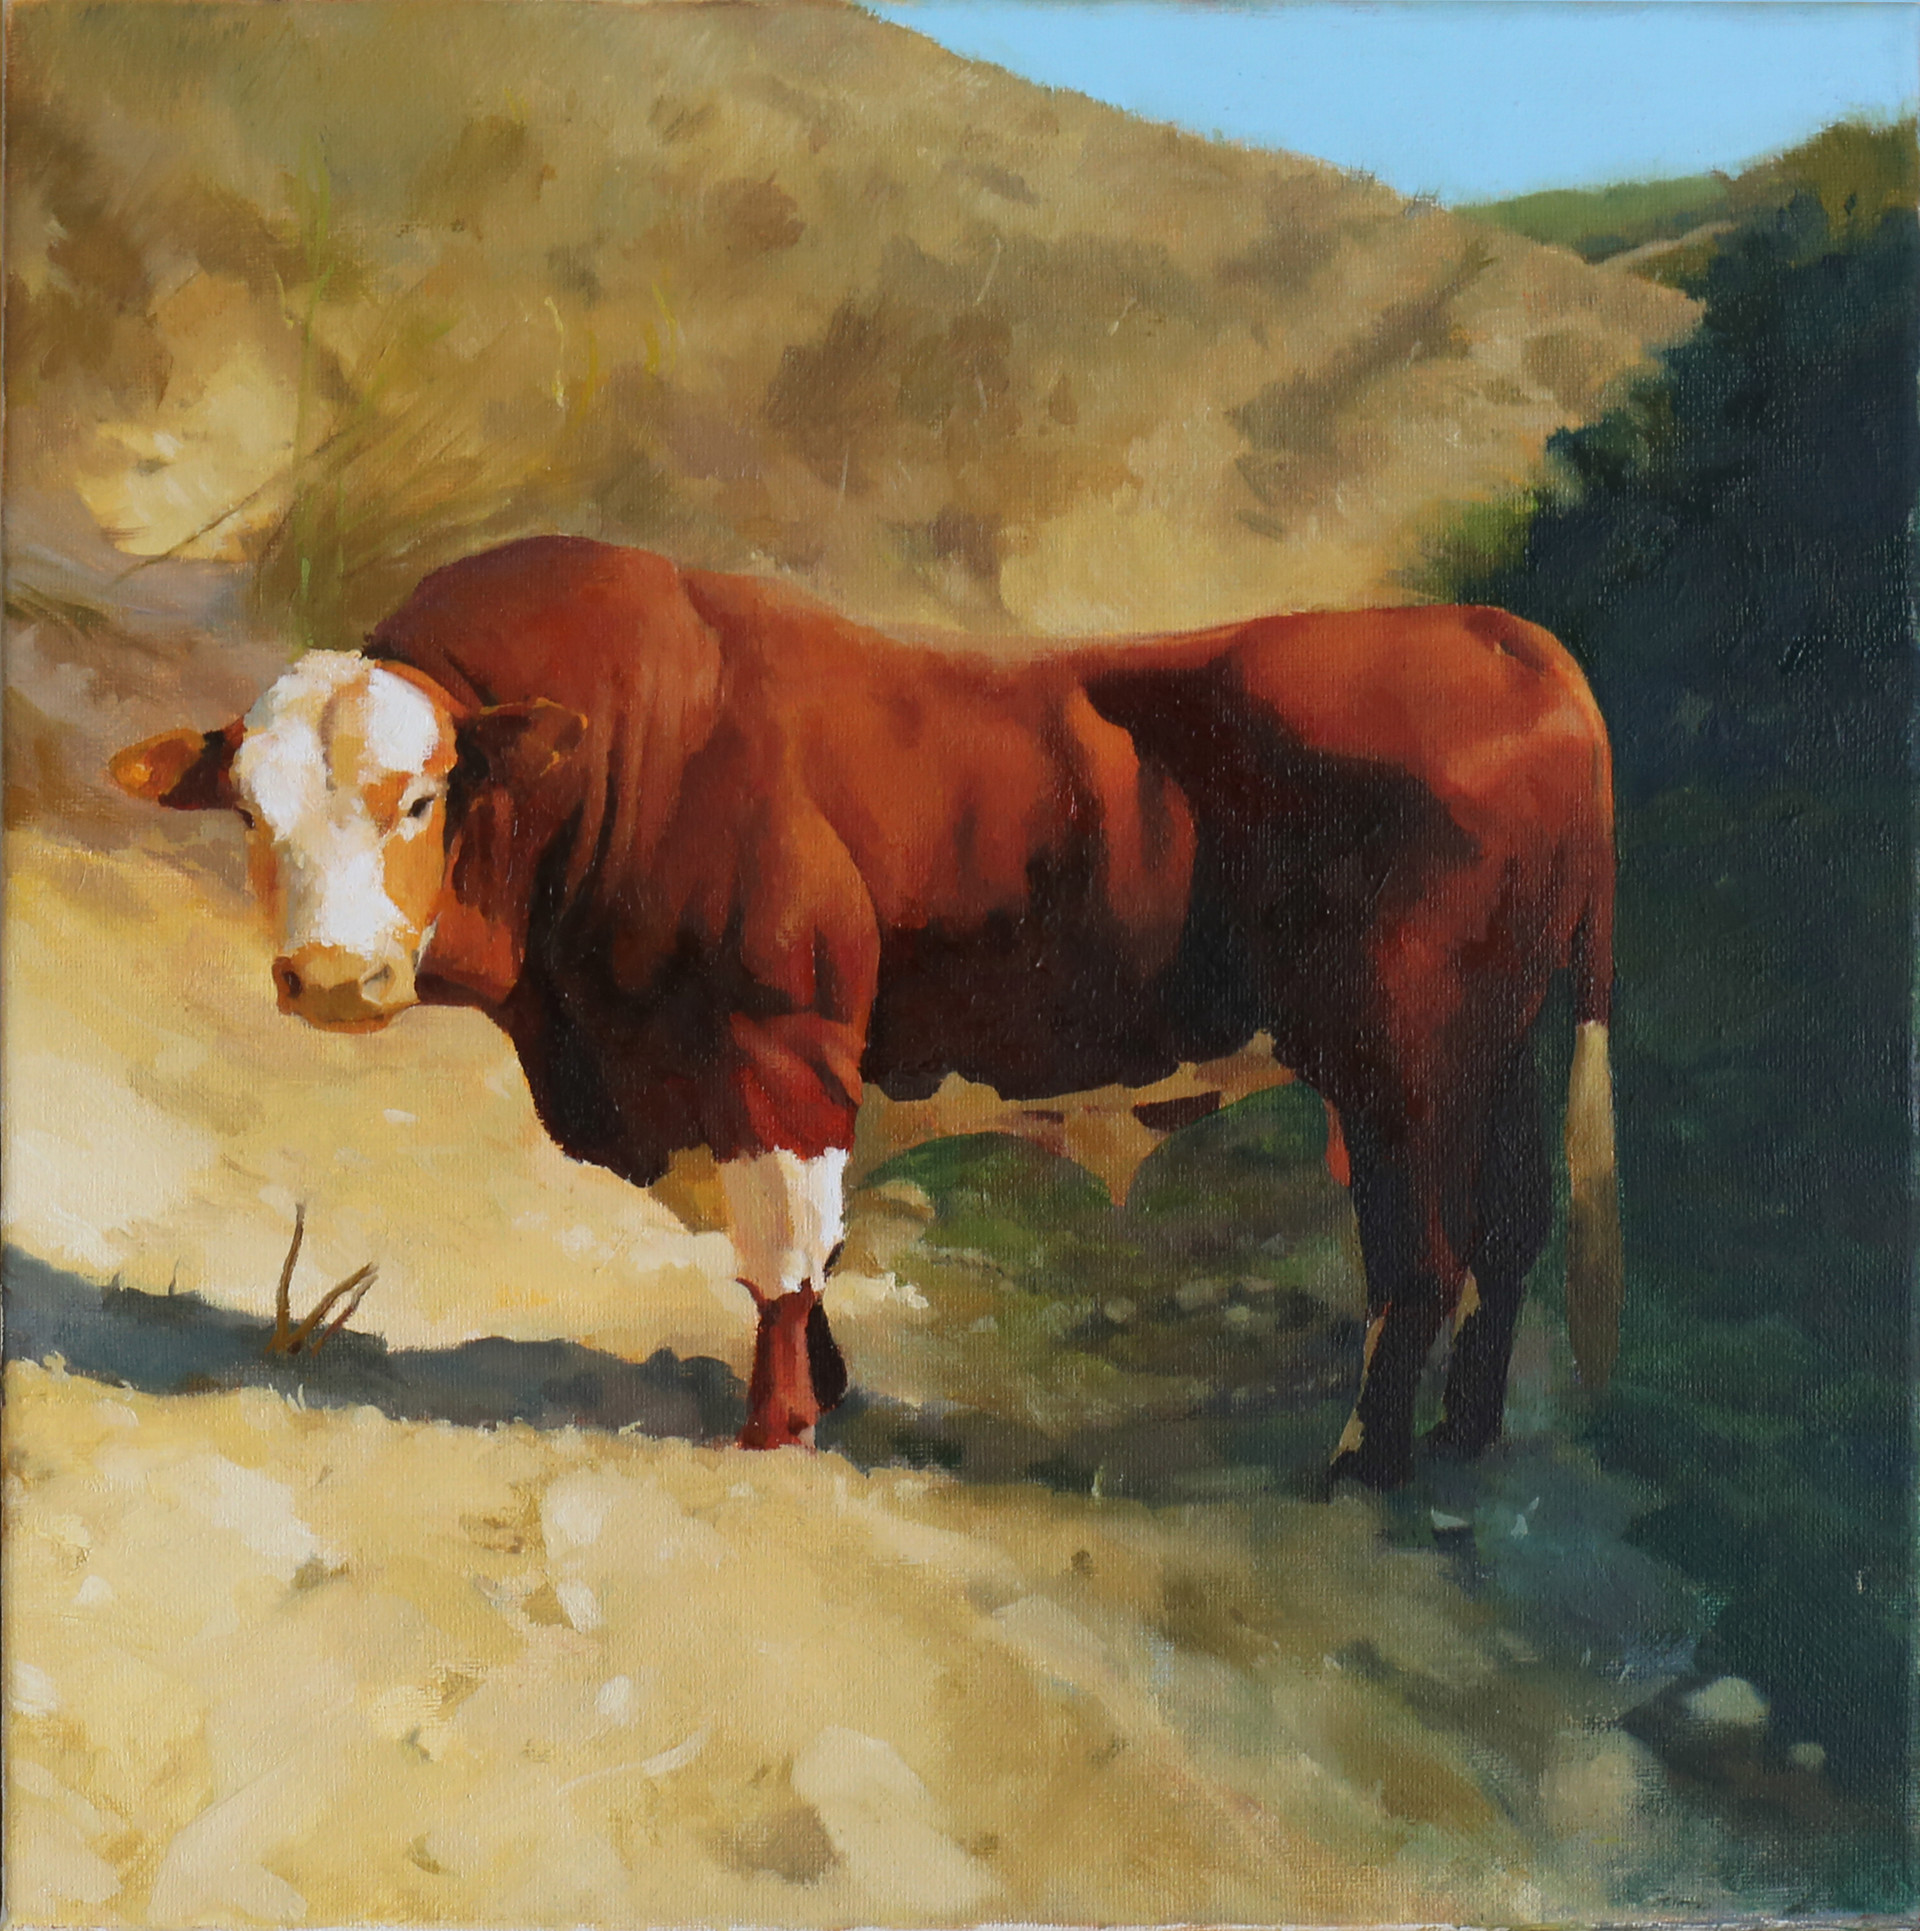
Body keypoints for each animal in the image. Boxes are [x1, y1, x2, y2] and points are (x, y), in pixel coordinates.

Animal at [111, 535, 1621, 1487]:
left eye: (420, 796)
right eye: (248, 810)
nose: (331, 976)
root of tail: (1506, 638)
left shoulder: (774, 1045)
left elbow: (783, 1245)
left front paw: (778, 1424)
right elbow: (808, 1252)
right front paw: (830, 1389)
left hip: (1403, 1066)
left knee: (1421, 1256)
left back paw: (1366, 1464)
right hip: (1507, 1049)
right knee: (1511, 1232)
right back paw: (1469, 1439)